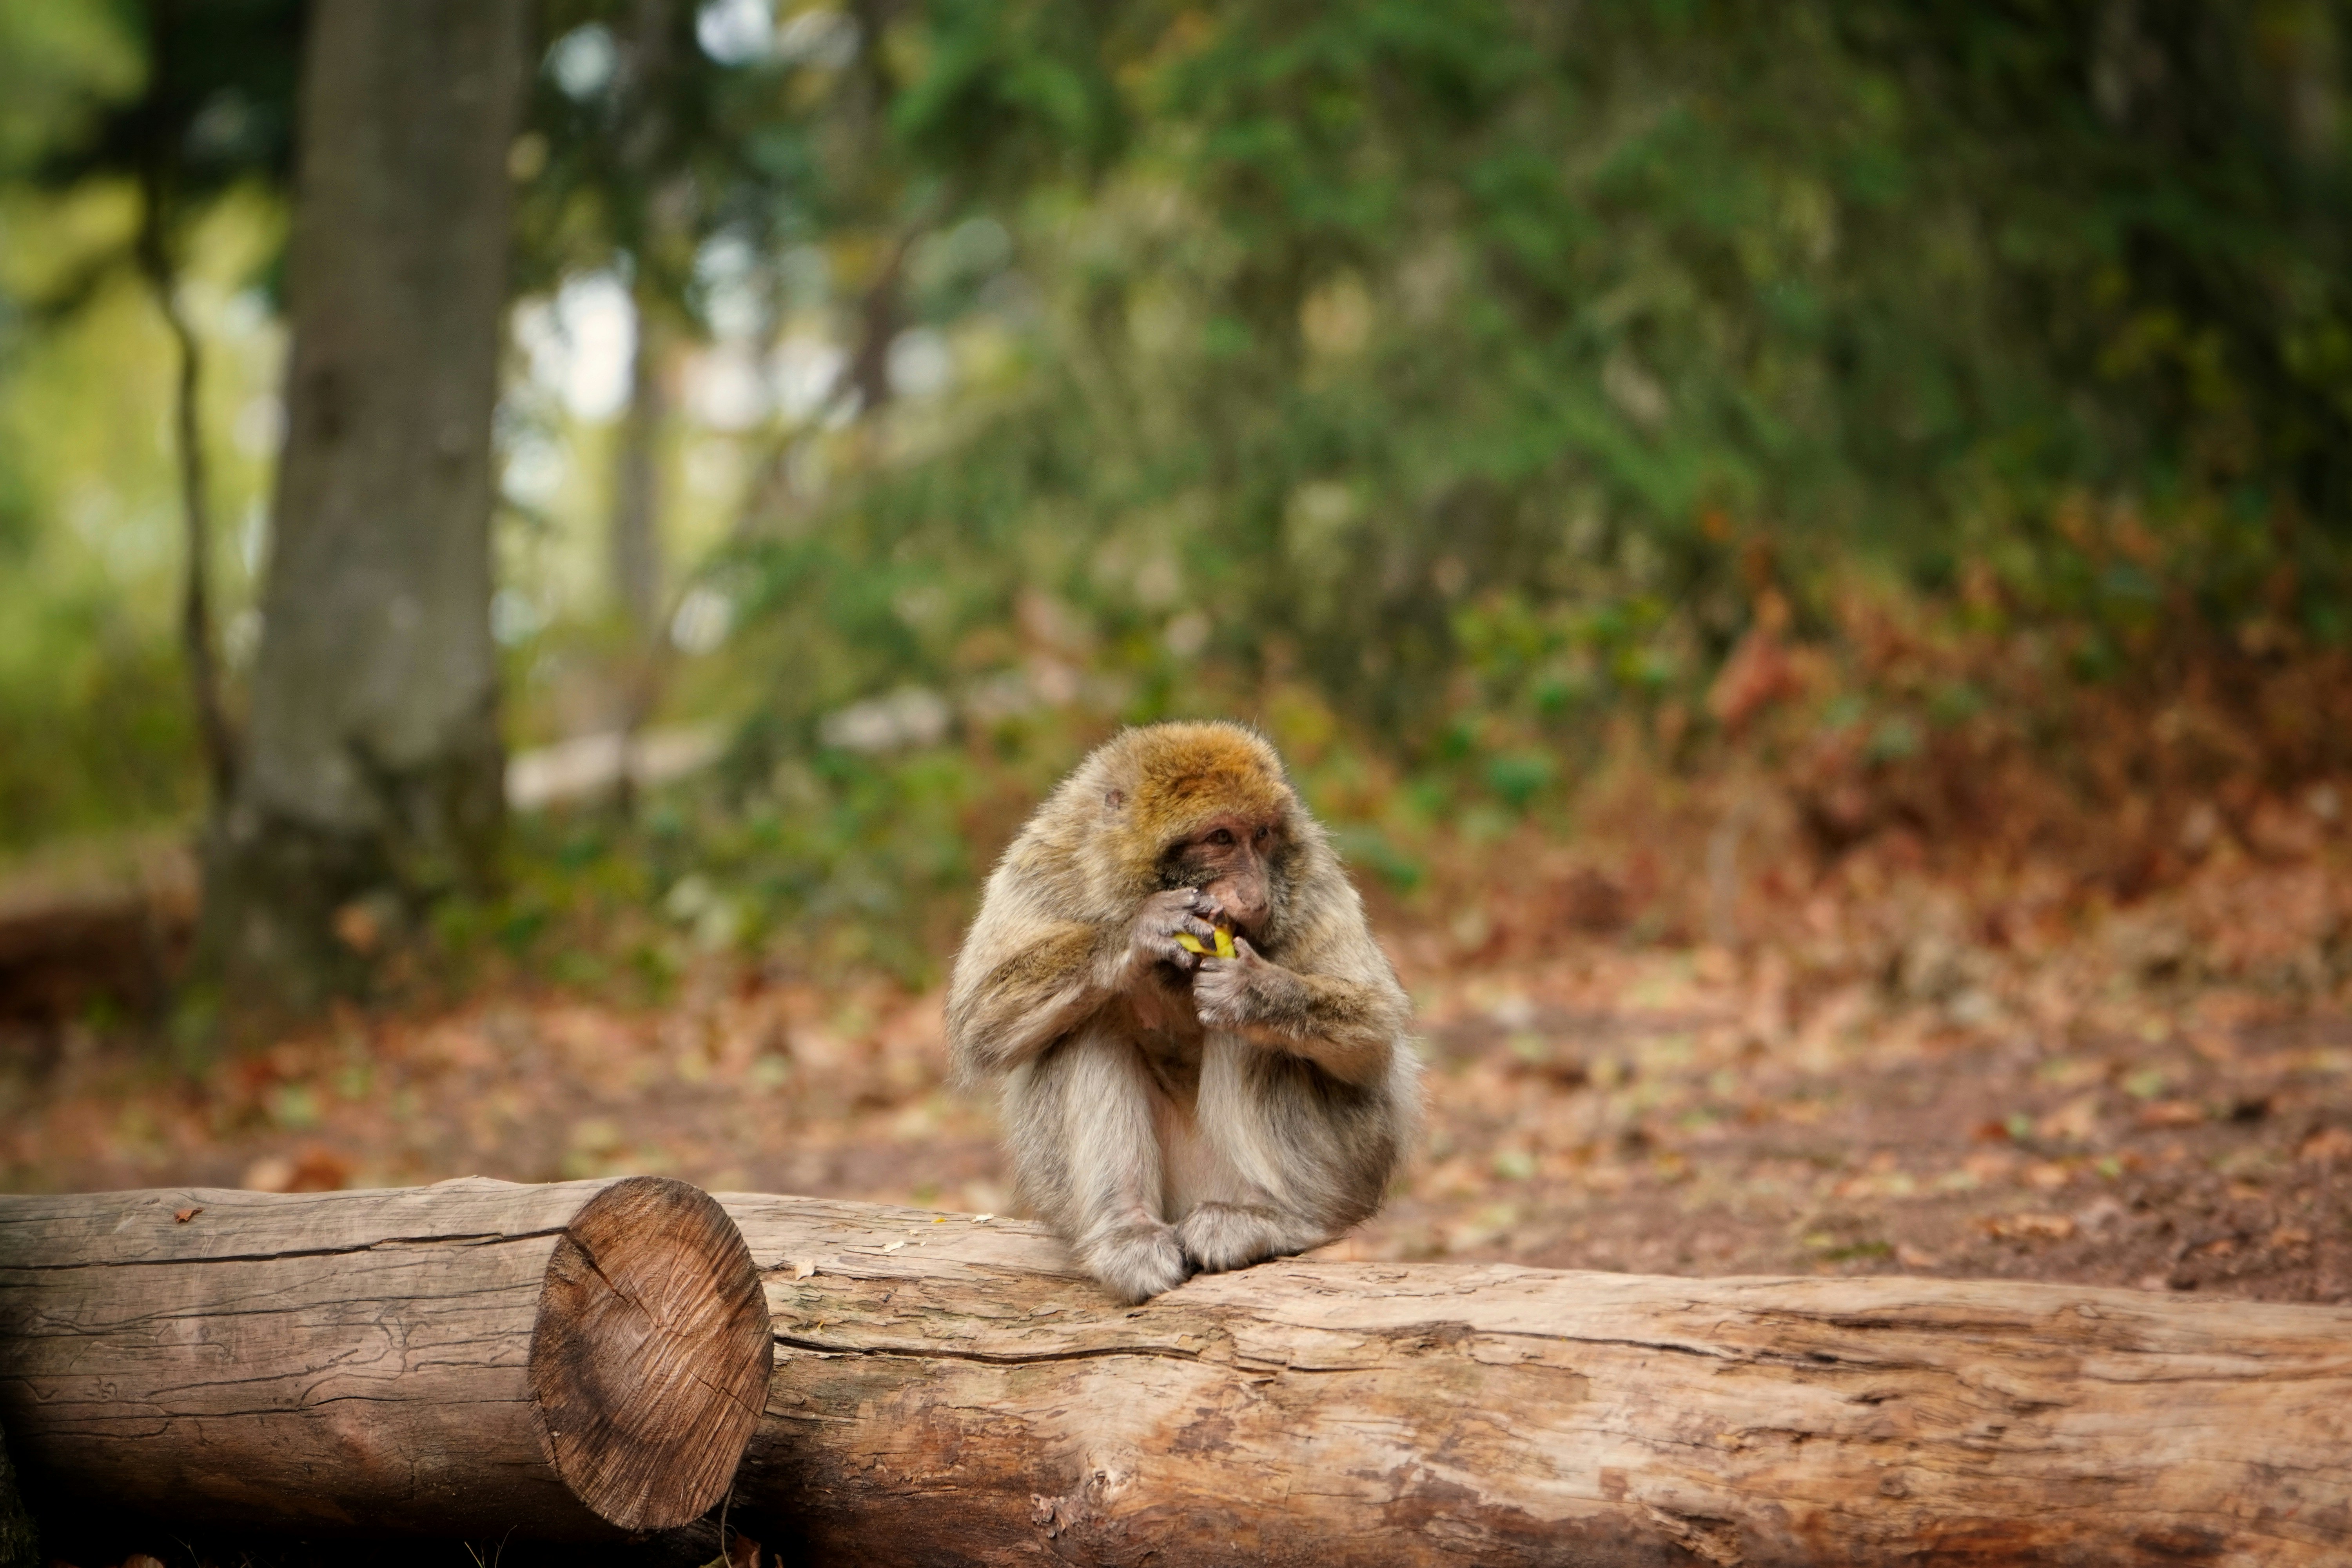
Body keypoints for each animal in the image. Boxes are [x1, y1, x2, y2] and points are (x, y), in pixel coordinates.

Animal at [946, 721, 1420, 1303]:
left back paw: (1275, 1217)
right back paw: (1126, 1231)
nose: (1254, 896)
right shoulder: (1046, 863)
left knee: (1246, 1036)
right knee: (1081, 1027)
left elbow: (1375, 1034)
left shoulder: (1311, 879)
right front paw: (1137, 933)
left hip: (1347, 1165)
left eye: (1262, 835)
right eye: (1221, 839)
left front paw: (1255, 991)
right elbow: (979, 1021)